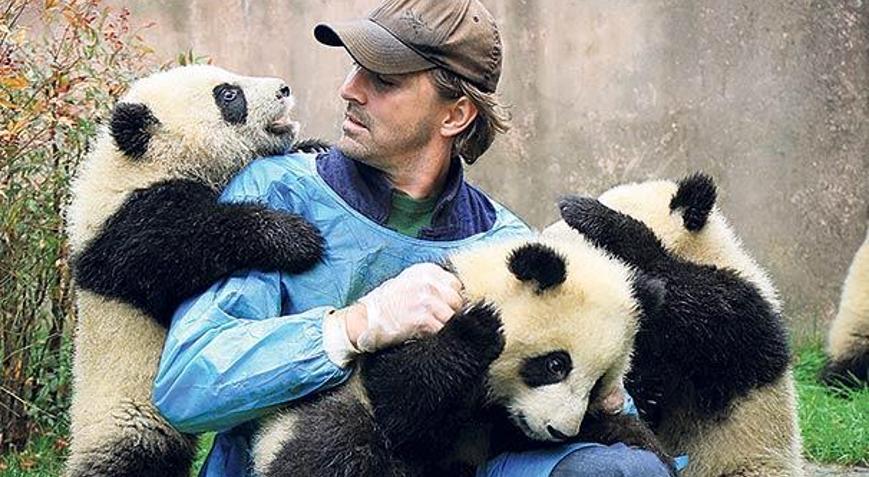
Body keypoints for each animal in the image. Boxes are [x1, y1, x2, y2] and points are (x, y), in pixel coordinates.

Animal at [64, 65, 325, 477]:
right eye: (229, 96)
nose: (284, 89)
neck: (139, 165)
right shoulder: (126, 228)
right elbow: (181, 245)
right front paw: (294, 237)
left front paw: (313, 147)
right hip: (130, 411)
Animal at [251, 235, 674, 477]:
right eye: (556, 365)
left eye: (599, 383)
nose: (560, 432)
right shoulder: (423, 314)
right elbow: (402, 402)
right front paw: (478, 328)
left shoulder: (504, 428)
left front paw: (635, 437)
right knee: (334, 443)